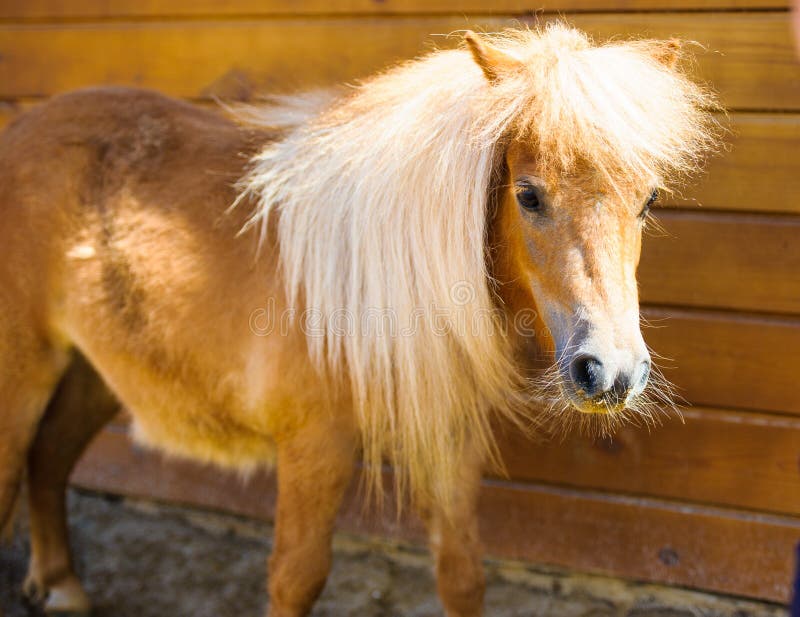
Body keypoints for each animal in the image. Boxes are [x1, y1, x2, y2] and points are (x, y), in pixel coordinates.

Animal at [0, 24, 718, 617]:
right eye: (528, 195)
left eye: (649, 198)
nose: (611, 372)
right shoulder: (313, 449)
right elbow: (296, 578)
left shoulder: (451, 440)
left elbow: (462, 575)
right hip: (26, 376)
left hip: (94, 373)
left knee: (49, 458)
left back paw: (62, 588)